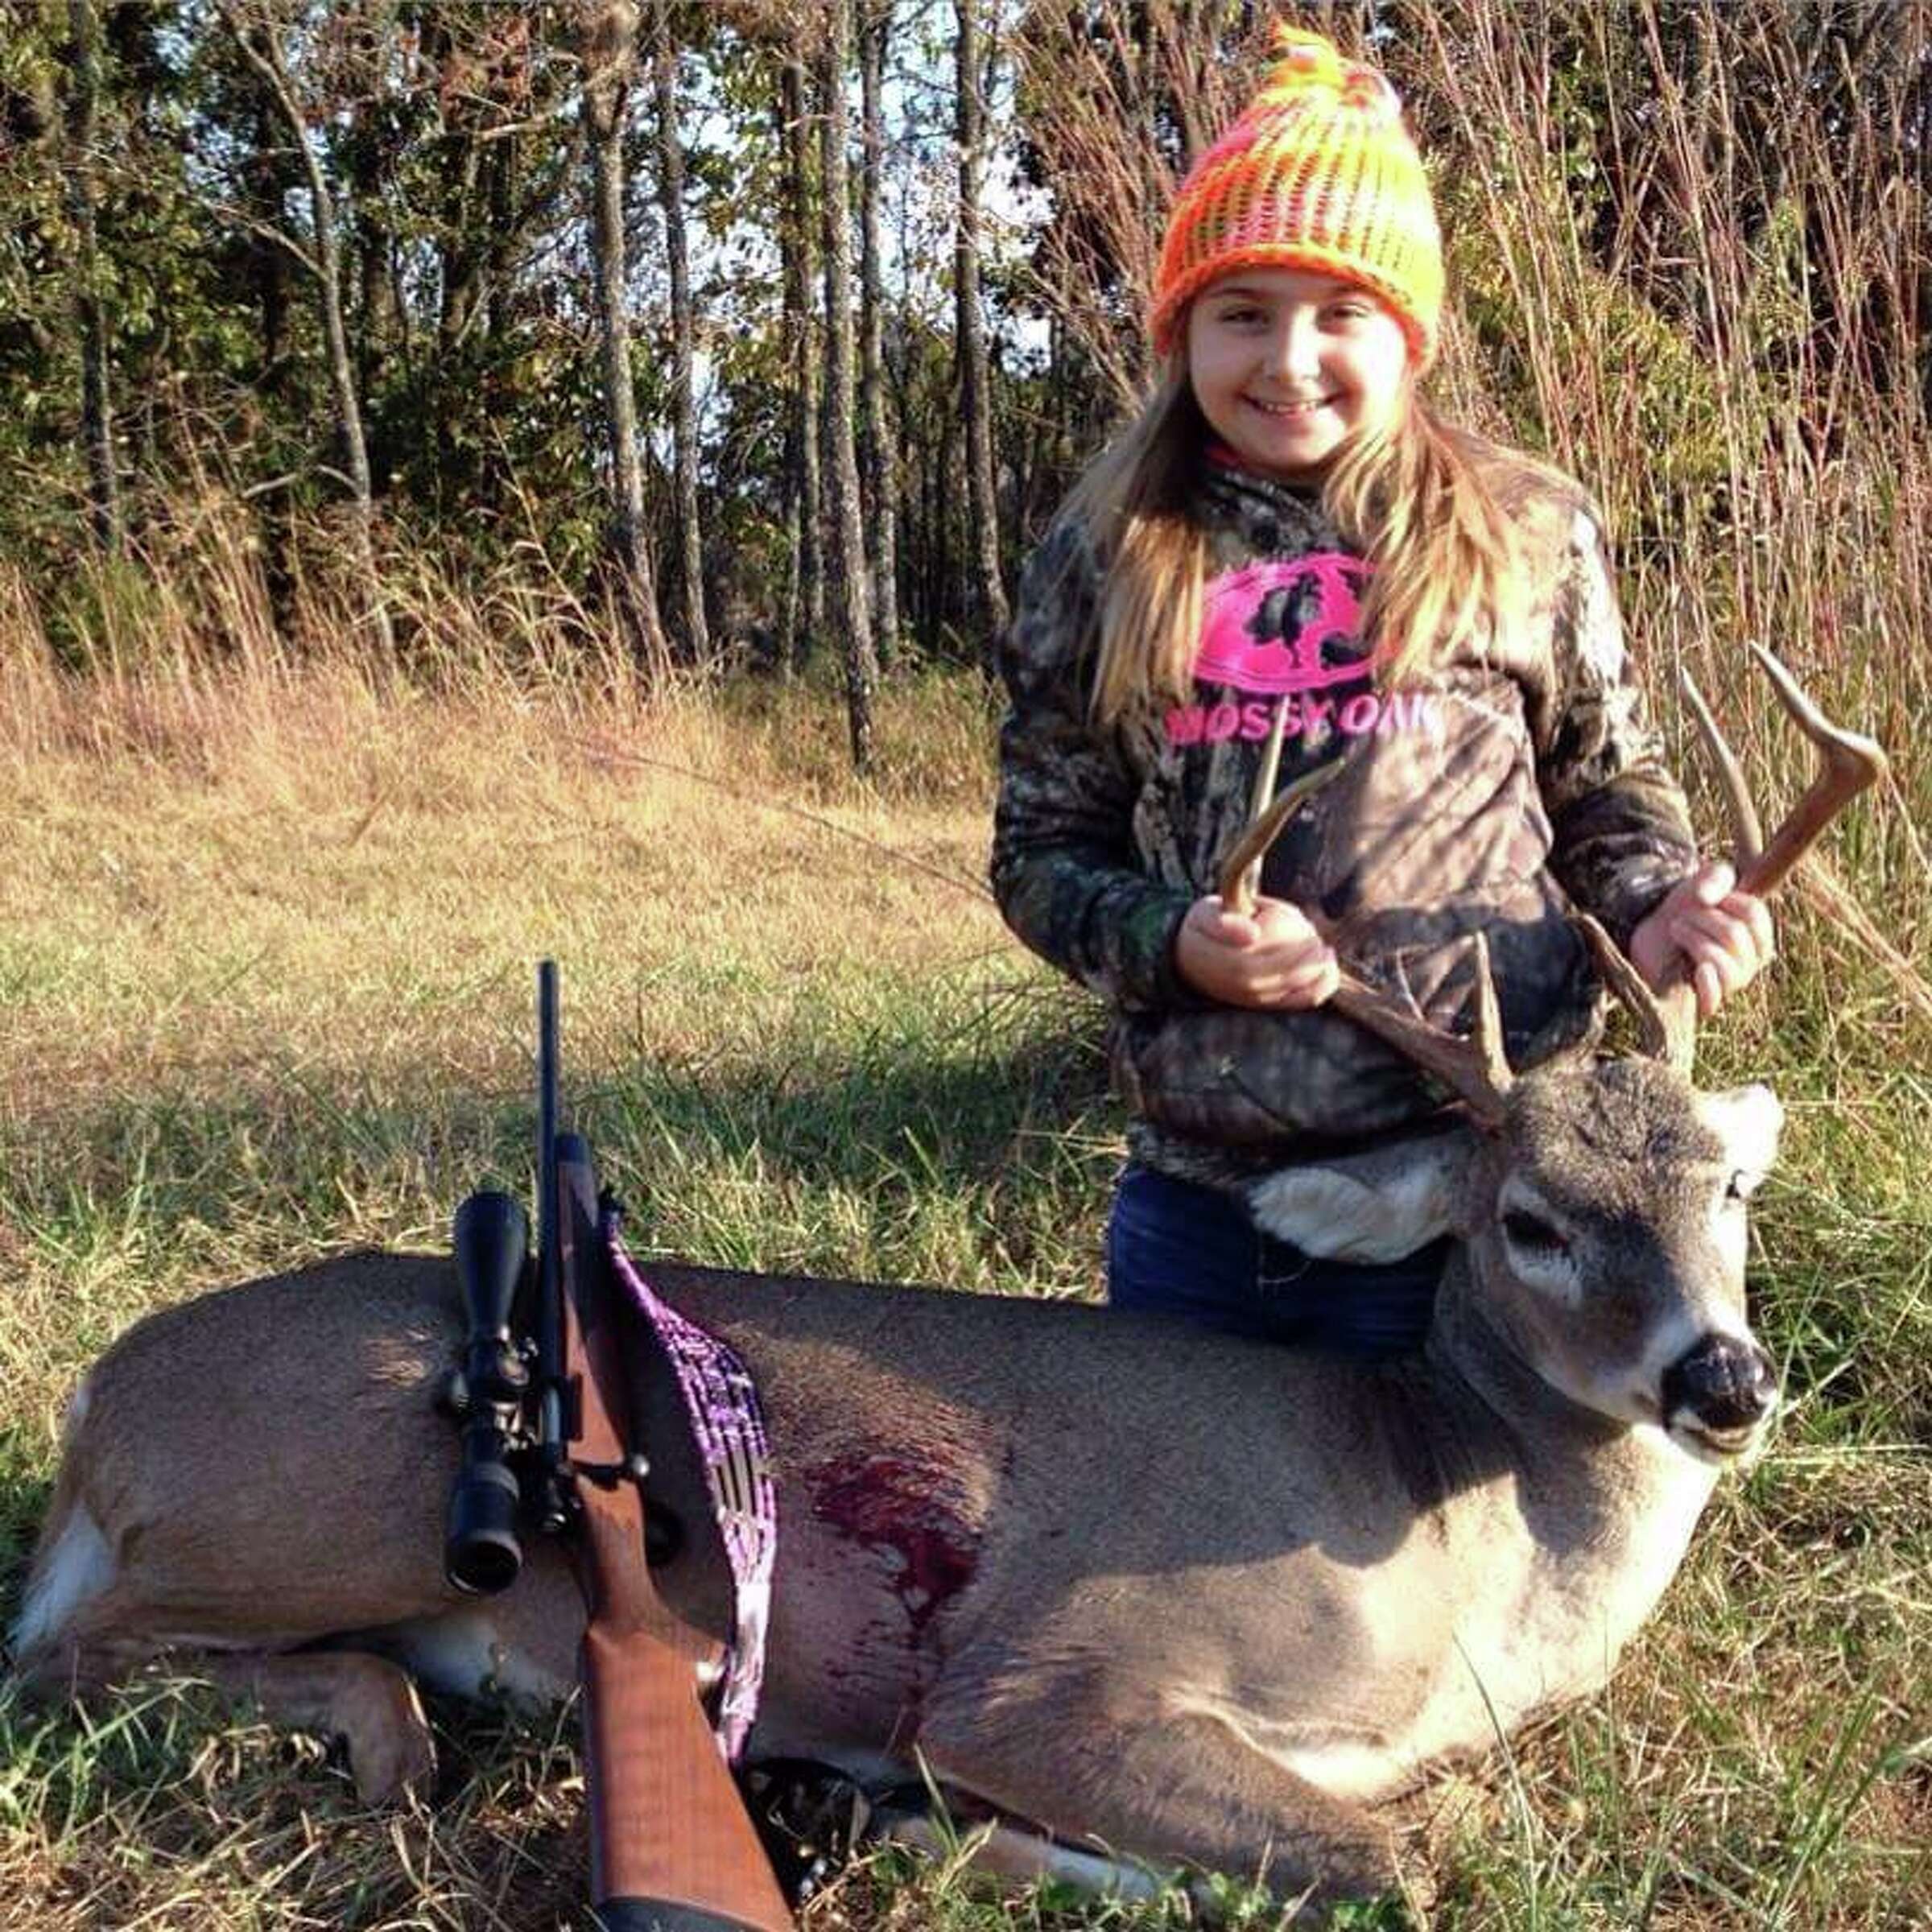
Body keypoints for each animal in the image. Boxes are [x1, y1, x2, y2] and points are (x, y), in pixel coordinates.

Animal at [8, 647, 1884, 1914]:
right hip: (343, 1503)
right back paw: (394, 1746)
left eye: (1728, 1186)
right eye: (1531, 1220)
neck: (1452, 1524)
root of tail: (98, 1392)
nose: (1723, 1380)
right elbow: (1387, 1862)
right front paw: (911, 1819)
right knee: (65, 1660)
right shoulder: (1046, 1670)